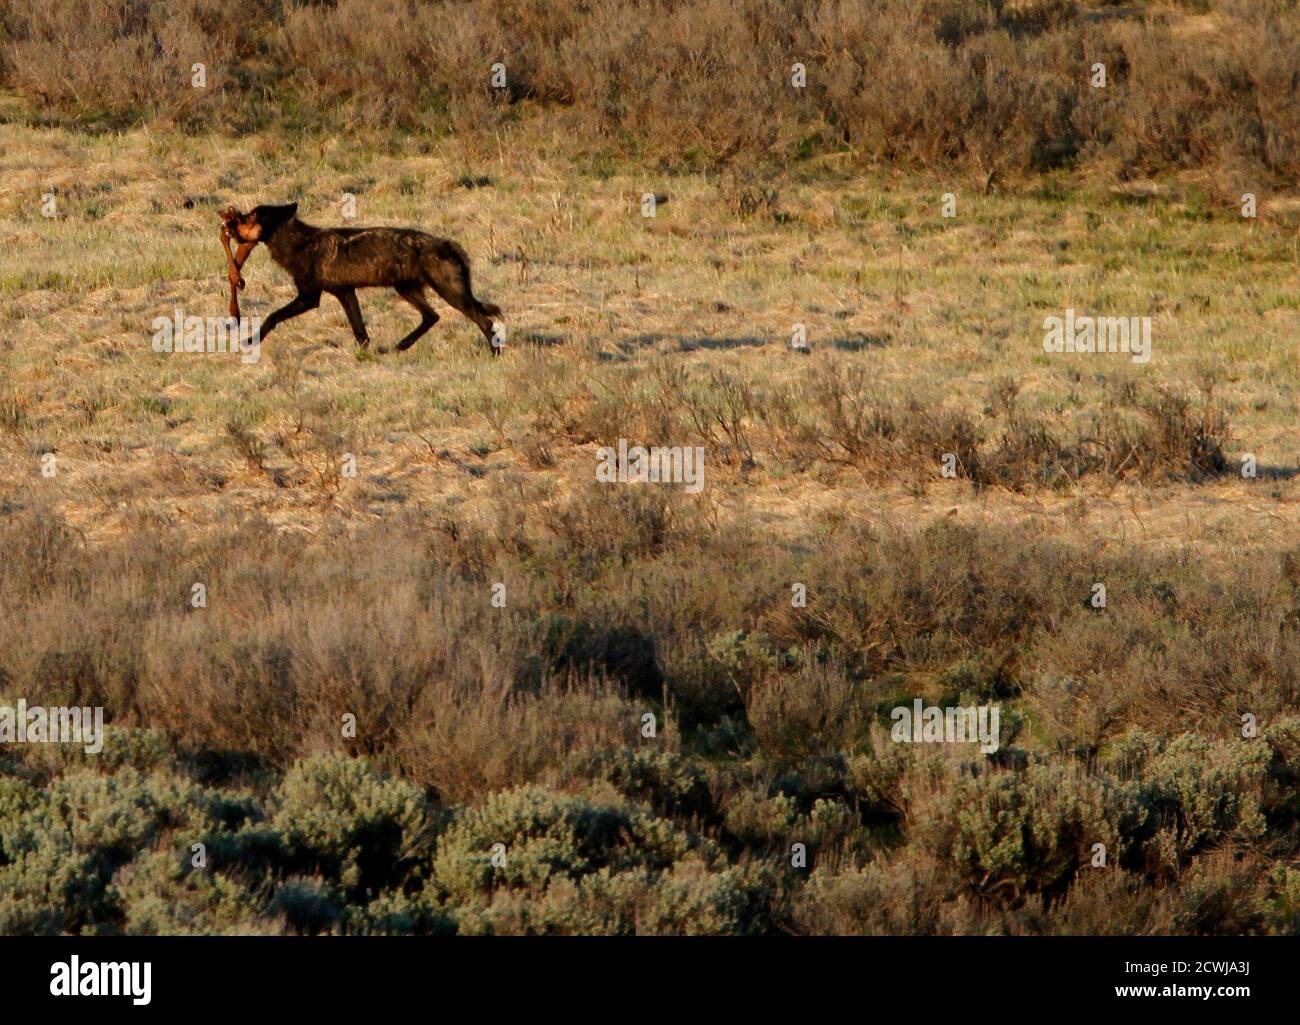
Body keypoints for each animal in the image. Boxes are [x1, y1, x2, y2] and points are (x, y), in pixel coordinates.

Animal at [223, 203, 502, 353]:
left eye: (250, 216)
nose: (227, 223)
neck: (298, 244)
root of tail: (449, 244)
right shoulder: (346, 293)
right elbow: (361, 333)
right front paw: (366, 356)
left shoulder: (309, 297)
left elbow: (272, 316)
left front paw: (251, 340)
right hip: (407, 290)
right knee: (432, 317)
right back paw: (401, 345)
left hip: (450, 293)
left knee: (485, 321)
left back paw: (494, 353)